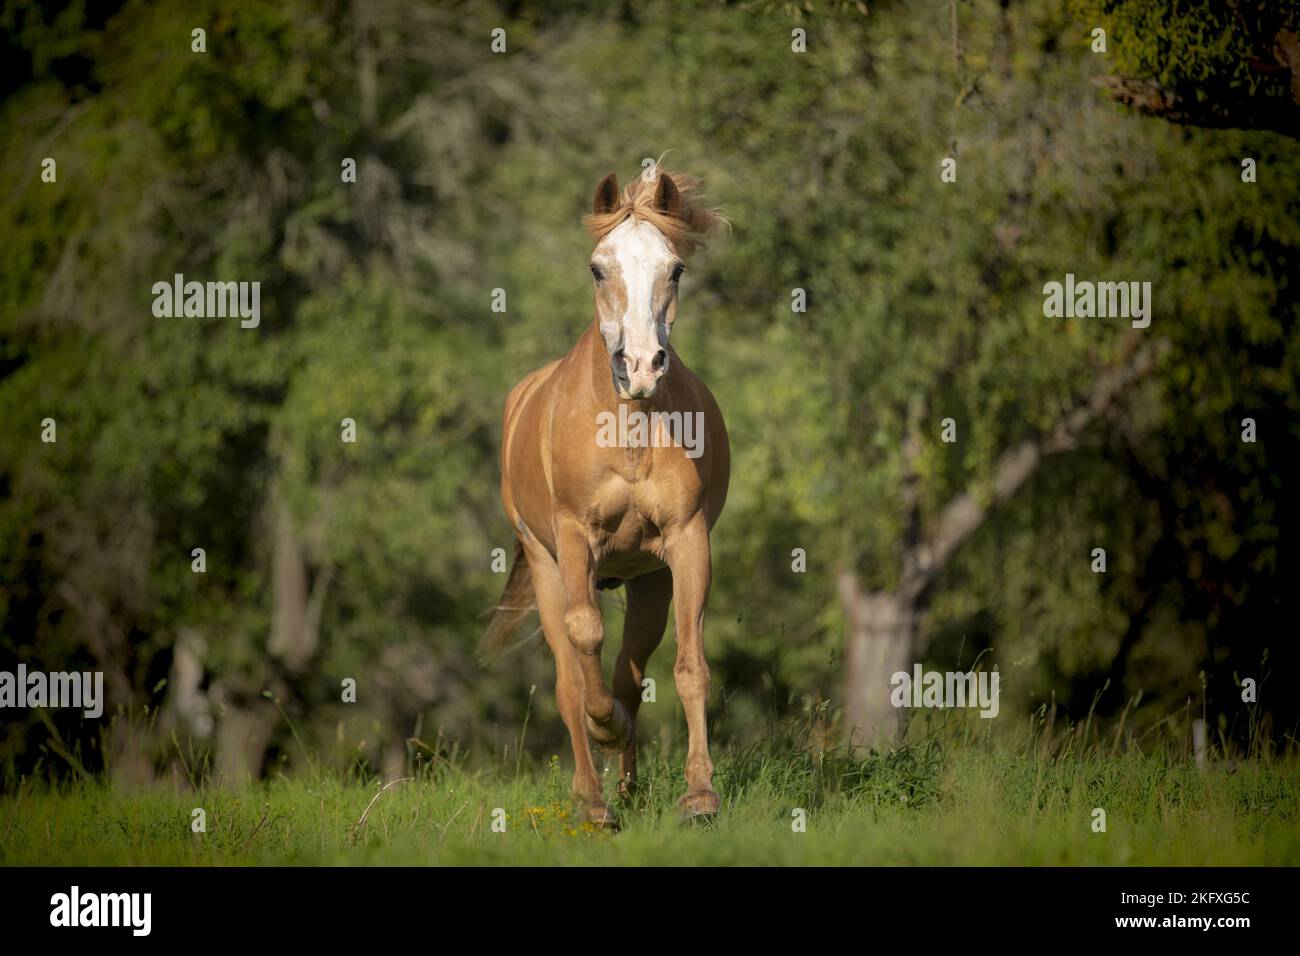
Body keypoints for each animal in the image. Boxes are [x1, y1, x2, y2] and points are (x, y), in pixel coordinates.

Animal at [480, 163, 730, 826]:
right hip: (545, 564)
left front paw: (700, 795)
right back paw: (593, 800)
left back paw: (626, 787)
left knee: (627, 677)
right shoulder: (573, 541)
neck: (629, 432)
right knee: (572, 678)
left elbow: (689, 667)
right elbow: (585, 640)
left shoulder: (686, 544)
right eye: (598, 267)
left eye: (676, 268)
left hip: (648, 581)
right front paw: (606, 732)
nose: (640, 366)